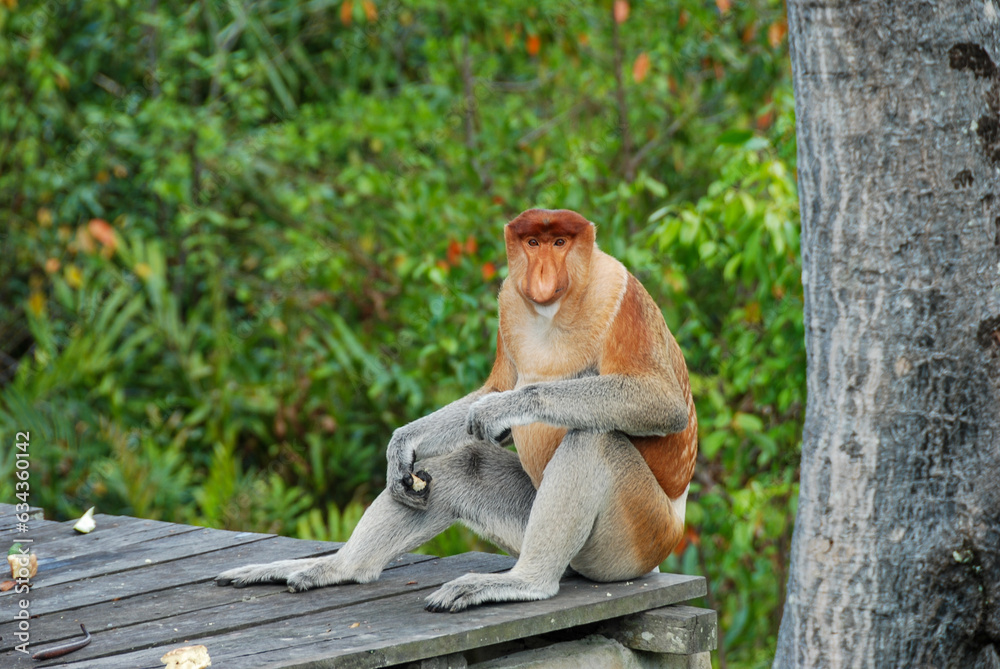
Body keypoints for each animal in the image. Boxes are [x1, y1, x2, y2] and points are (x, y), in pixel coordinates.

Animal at [216, 208, 698, 613]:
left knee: (594, 439)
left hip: (636, 535)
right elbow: (492, 389)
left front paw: (505, 408)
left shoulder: (619, 293)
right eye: (533, 243)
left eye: (560, 242)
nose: (542, 275)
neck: (554, 312)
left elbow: (663, 401)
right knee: (465, 464)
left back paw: (524, 582)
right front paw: (401, 446)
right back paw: (337, 569)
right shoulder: (509, 301)